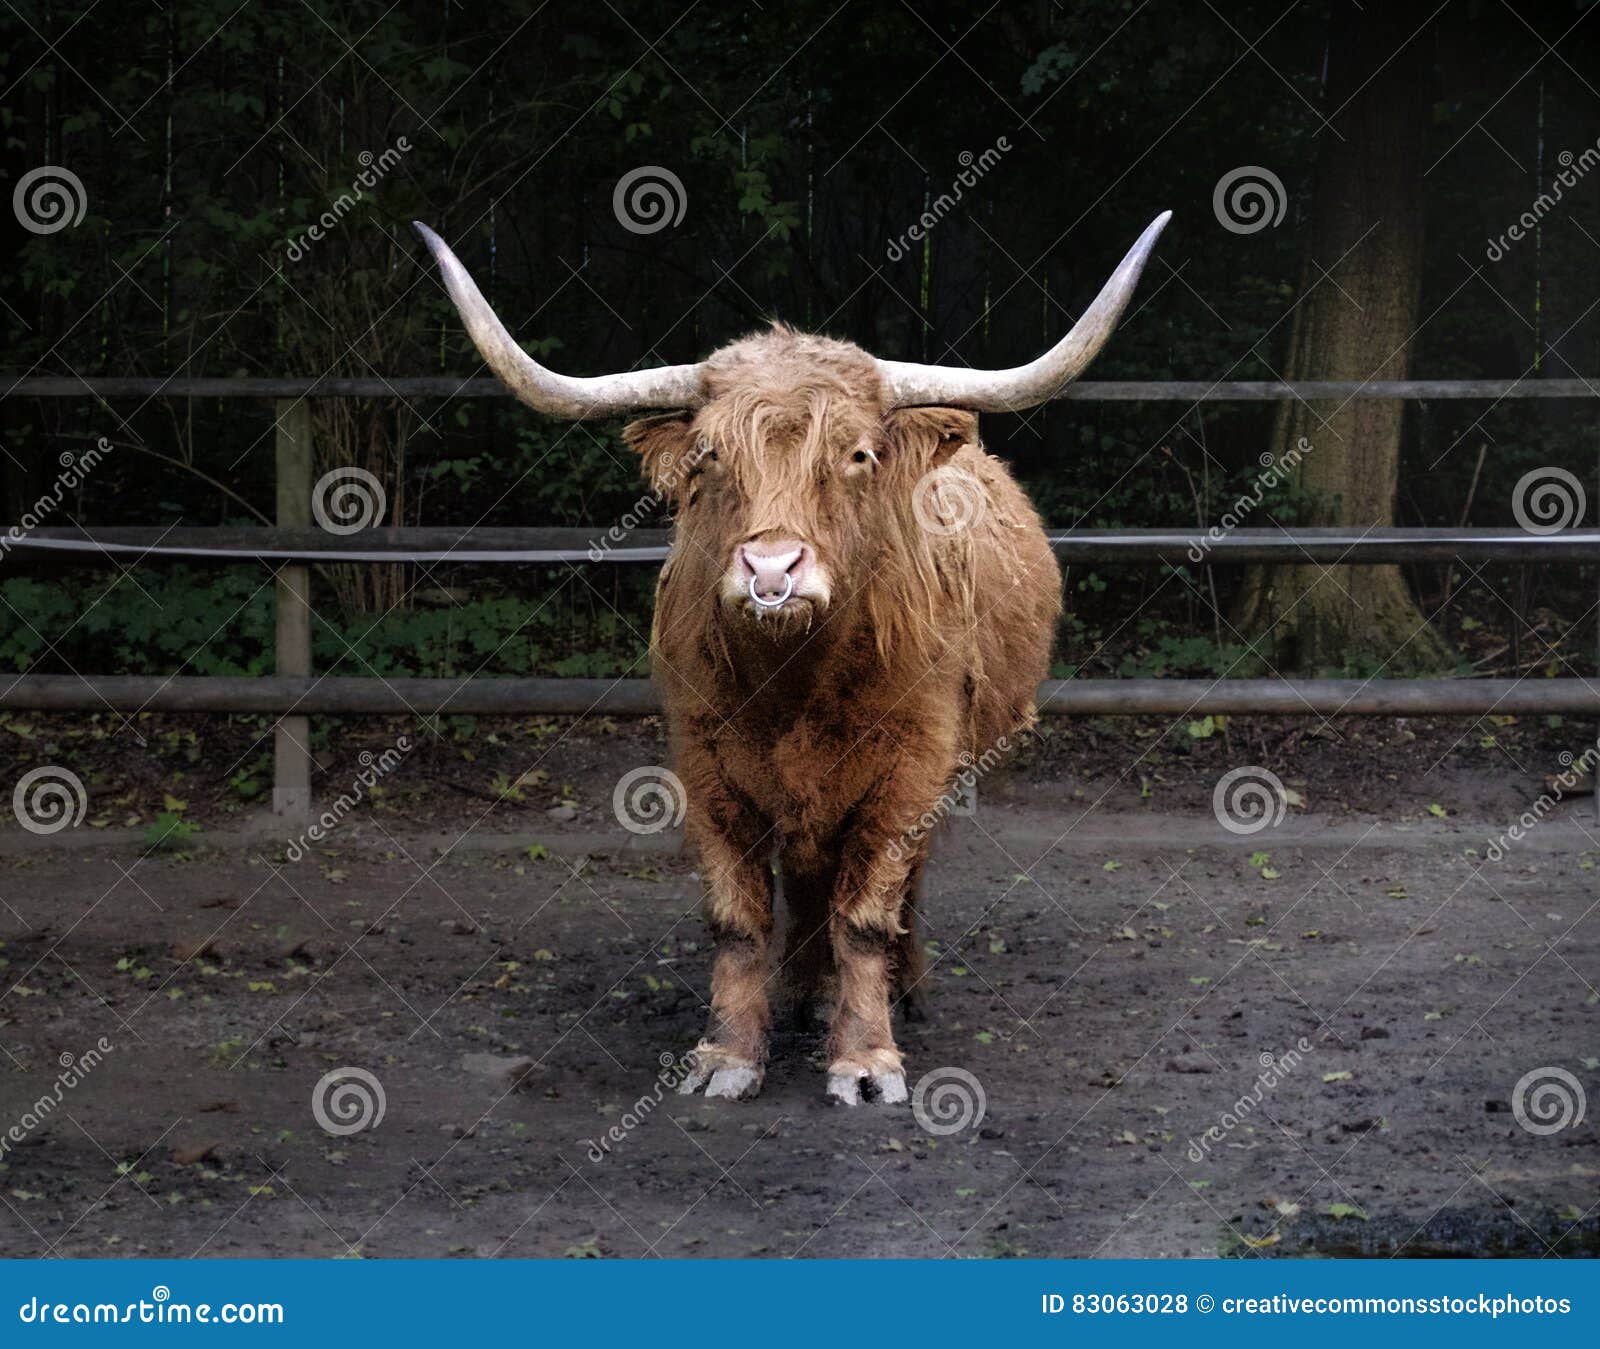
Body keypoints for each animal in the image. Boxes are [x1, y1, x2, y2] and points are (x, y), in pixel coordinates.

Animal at [415, 212, 1169, 1105]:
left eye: (857, 455)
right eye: (710, 456)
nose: (772, 570)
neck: (796, 685)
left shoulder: (912, 769)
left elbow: (868, 912)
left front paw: (867, 1060)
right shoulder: (706, 767)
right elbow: (739, 917)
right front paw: (730, 1053)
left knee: (895, 887)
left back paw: (905, 990)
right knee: (808, 883)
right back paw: (806, 993)